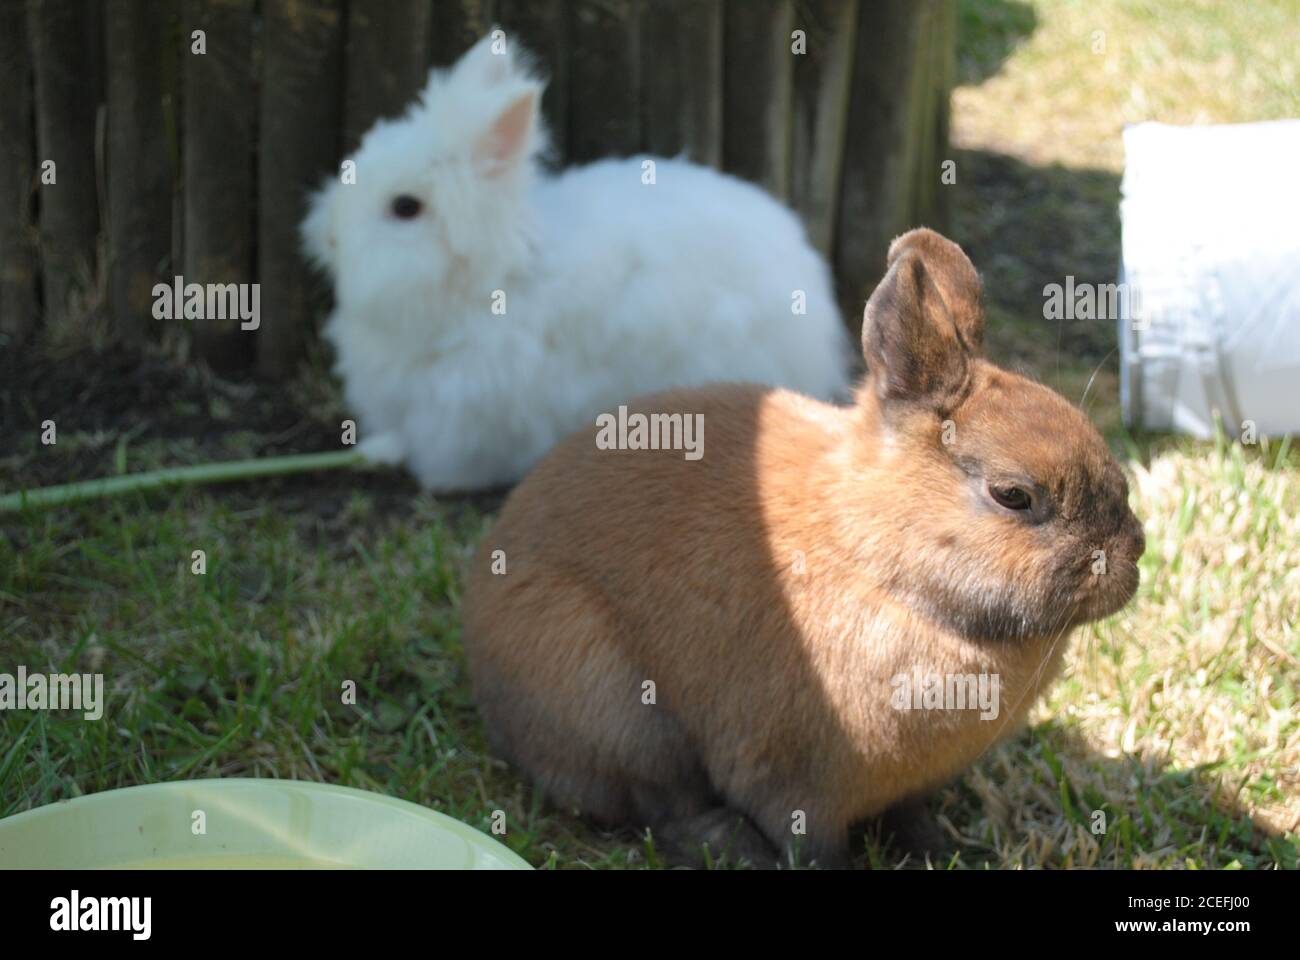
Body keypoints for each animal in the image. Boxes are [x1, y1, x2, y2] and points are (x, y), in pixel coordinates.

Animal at [461, 228, 1146, 868]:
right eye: (1013, 495)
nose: (1131, 554)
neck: (877, 563)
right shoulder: (789, 782)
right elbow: (809, 842)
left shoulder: (905, 787)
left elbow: (911, 815)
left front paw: (935, 849)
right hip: (617, 710)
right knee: (663, 803)